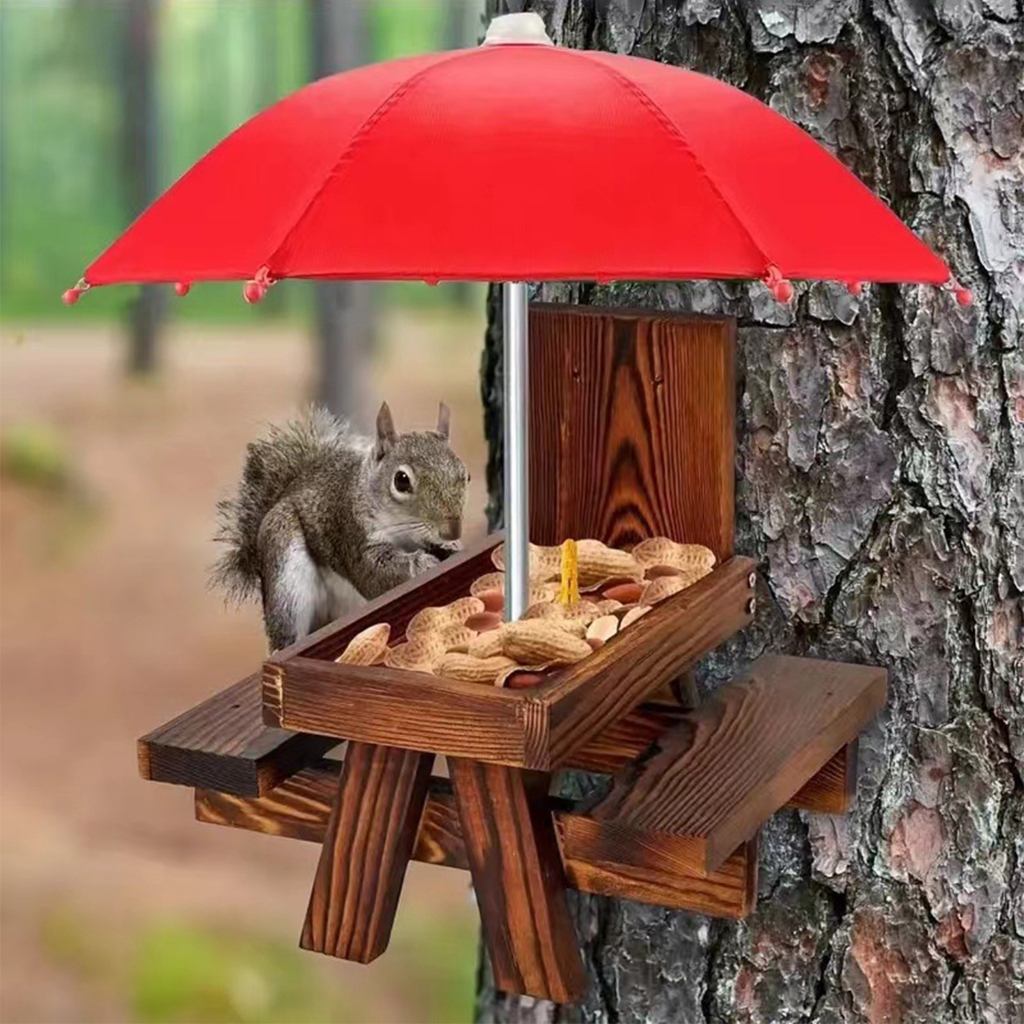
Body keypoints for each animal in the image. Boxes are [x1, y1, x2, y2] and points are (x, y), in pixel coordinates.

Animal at [212, 401, 468, 653]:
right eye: (401, 480)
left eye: (465, 475)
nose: (452, 530)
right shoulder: (352, 533)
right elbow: (373, 573)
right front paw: (422, 562)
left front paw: (451, 547)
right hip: (284, 571)